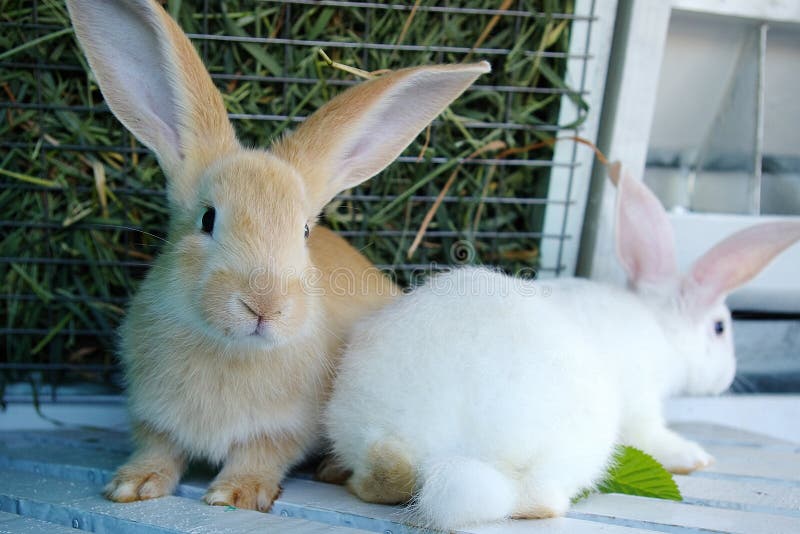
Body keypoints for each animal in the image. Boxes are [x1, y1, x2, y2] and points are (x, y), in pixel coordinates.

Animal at [65, 0, 490, 512]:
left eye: (304, 231)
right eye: (207, 218)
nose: (264, 306)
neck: (231, 349)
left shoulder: (283, 429)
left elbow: (260, 455)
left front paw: (236, 496)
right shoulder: (152, 414)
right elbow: (158, 447)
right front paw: (132, 486)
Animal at [324, 169, 800, 530]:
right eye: (720, 328)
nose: (727, 378)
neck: (661, 327)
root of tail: (446, 446)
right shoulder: (642, 408)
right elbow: (655, 437)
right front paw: (694, 458)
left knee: (386, 474)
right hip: (572, 451)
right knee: (540, 503)